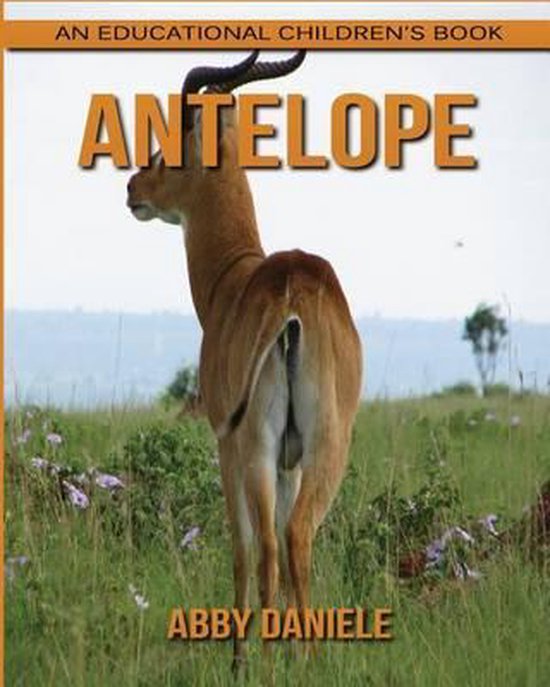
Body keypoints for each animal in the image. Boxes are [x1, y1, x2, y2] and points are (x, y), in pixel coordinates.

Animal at [126, 51, 362, 669]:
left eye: (176, 136)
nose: (133, 186)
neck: (235, 278)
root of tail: (293, 296)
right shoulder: (290, 461)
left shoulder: (225, 444)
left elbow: (240, 550)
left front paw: (238, 658)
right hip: (325, 449)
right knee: (298, 539)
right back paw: (308, 660)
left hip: (254, 447)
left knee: (271, 550)